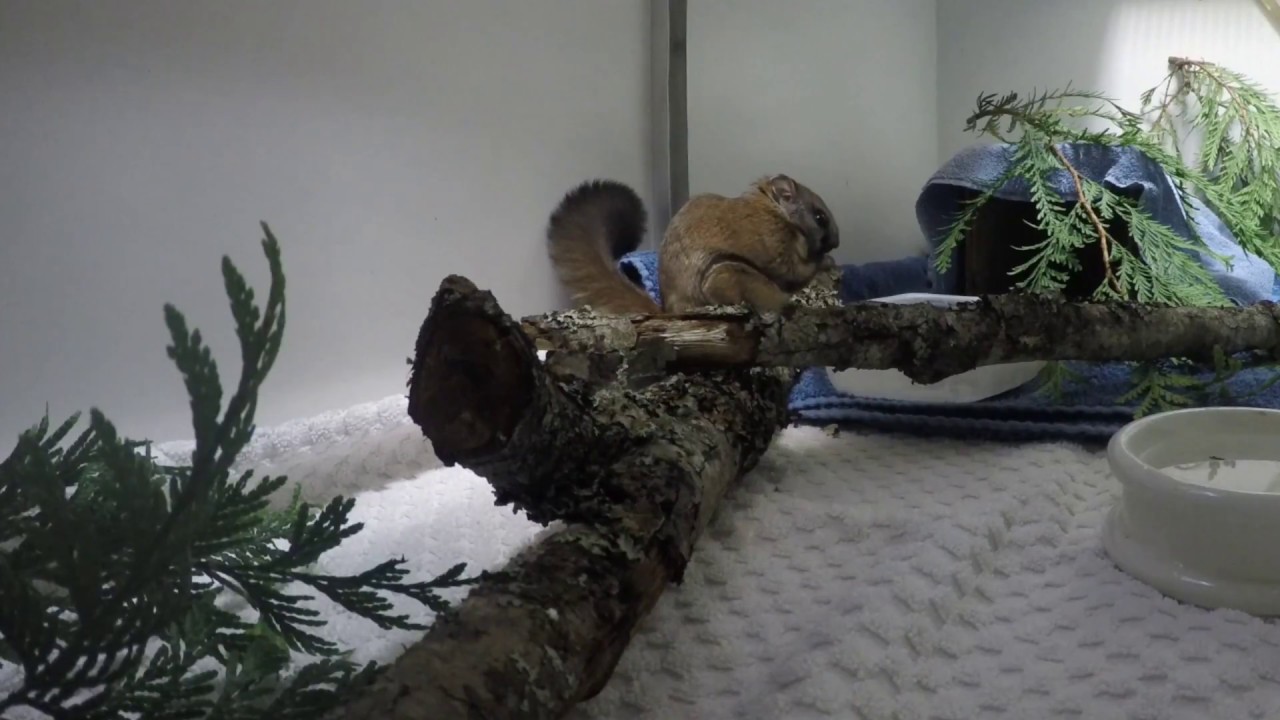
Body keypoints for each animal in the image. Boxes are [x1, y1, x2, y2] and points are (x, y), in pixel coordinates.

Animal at [545, 174, 840, 315]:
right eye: (820, 217)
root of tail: (670, 312)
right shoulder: (771, 239)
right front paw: (824, 263)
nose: (836, 243)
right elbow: (793, 271)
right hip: (727, 275)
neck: (773, 208)